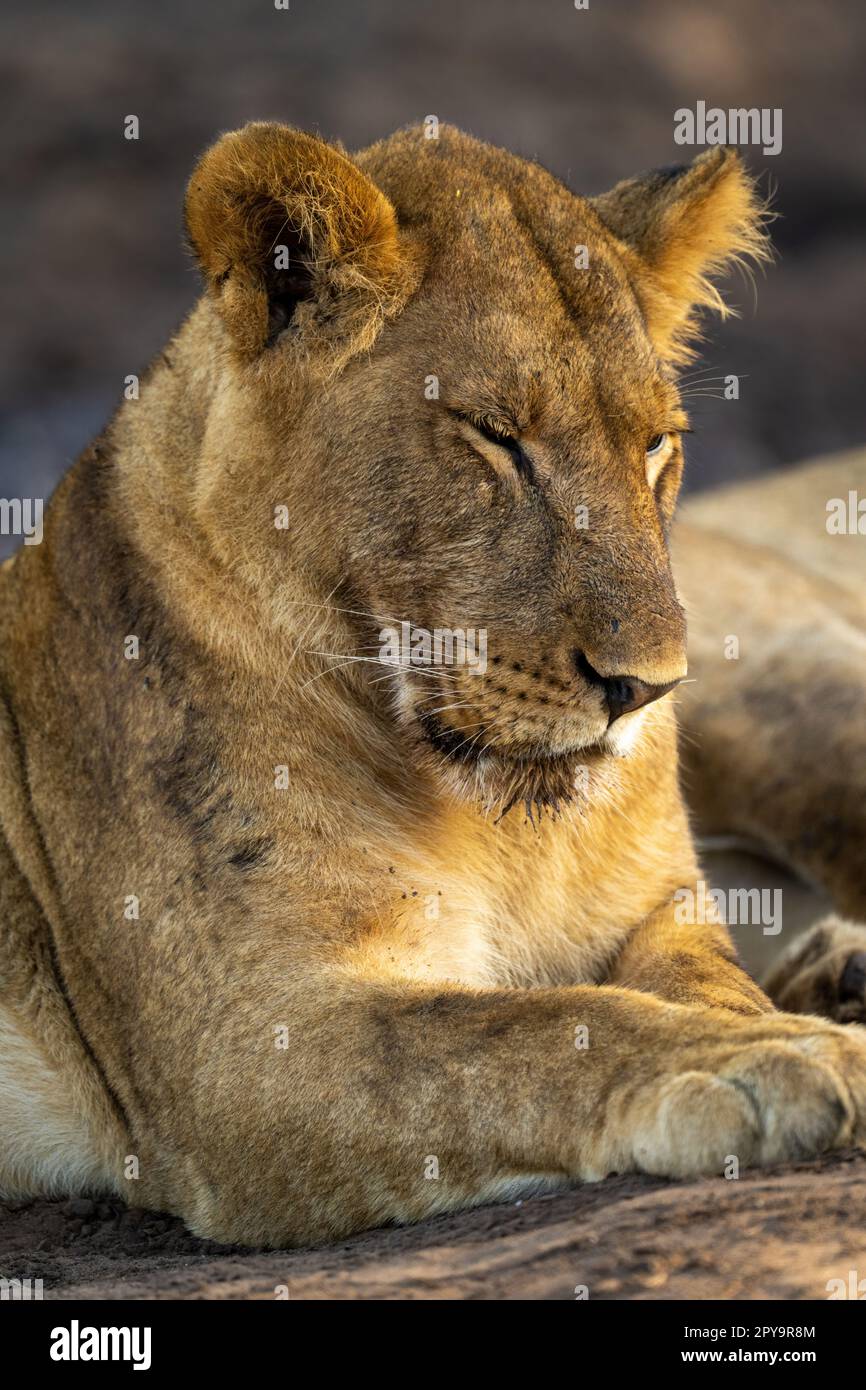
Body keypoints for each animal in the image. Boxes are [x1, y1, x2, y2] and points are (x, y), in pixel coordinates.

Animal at [1, 121, 865, 1247]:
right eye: (495, 436)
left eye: (656, 445)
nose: (647, 687)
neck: (494, 822)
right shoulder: (248, 1041)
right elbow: (533, 1031)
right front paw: (770, 1058)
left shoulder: (657, 909)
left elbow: (694, 982)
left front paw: (764, 1025)